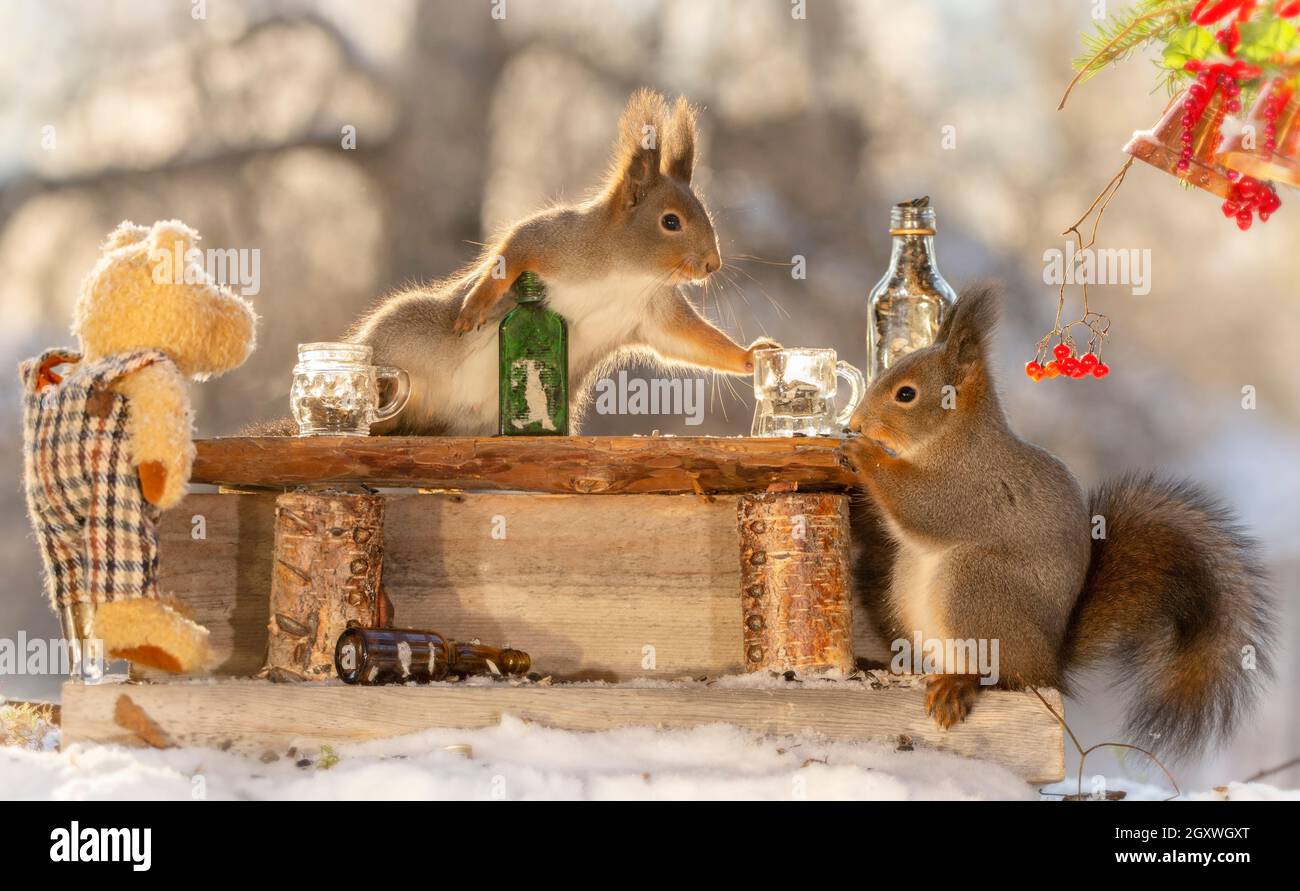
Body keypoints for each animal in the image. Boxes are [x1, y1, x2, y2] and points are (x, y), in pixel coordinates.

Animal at [247, 89, 775, 436]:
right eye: (670, 222)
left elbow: (689, 341)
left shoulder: (652, 311)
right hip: (395, 343)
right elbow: (511, 251)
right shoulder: (557, 241)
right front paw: (478, 303)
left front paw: (752, 356)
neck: (627, 272)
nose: (712, 265)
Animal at [836, 285, 1274, 758]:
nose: (855, 423)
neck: (954, 438)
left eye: (906, 395)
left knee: (998, 674)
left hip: (975, 586)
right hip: (908, 589)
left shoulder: (975, 488)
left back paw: (960, 683)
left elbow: (922, 505)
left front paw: (865, 453)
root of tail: (1049, 664)